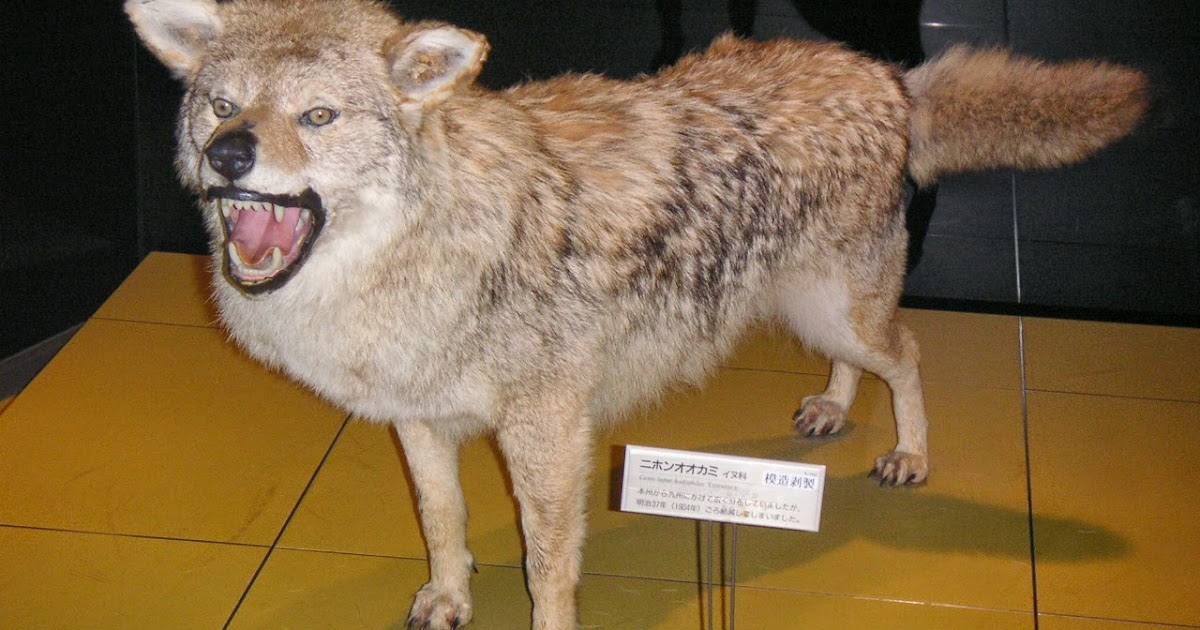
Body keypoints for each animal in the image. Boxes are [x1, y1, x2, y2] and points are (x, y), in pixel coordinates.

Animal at [126, 0, 1147, 627]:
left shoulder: (546, 431)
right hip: (808, 310)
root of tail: (889, 77)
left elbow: (547, 562)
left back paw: (910, 454)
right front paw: (449, 599)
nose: (228, 155)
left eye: (320, 117)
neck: (427, 248)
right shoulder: (417, 419)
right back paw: (831, 409)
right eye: (221, 105)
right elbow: (443, 519)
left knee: (909, 351)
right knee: (869, 361)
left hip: (836, 308)